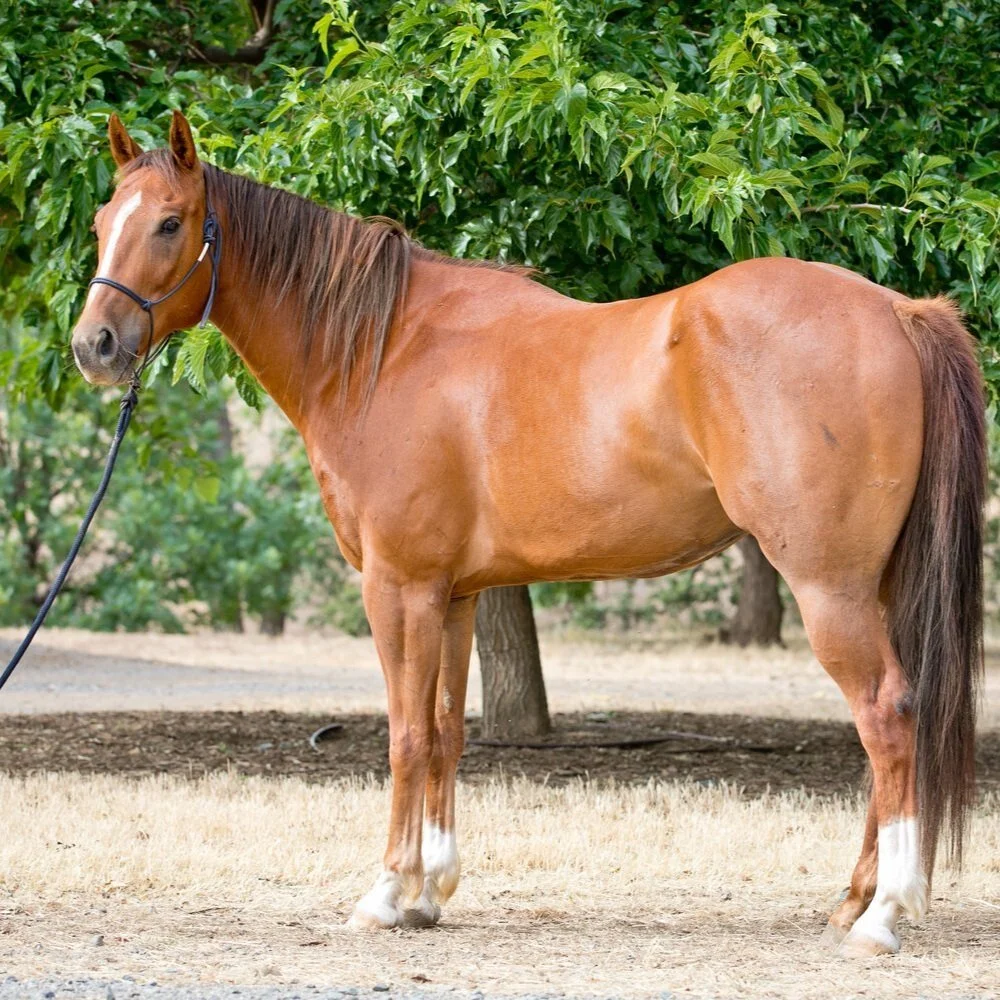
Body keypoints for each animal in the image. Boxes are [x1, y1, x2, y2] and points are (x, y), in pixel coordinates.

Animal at [71, 111, 986, 958]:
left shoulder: (396, 587)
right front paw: (429, 892)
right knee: (886, 726)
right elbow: (444, 733)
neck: (387, 349)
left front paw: (385, 893)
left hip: (828, 587)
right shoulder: (454, 595)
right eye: (102, 219)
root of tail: (896, 309)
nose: (95, 346)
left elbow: (404, 735)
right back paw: (853, 898)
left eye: (170, 223)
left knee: (885, 715)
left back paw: (883, 914)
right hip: (875, 586)